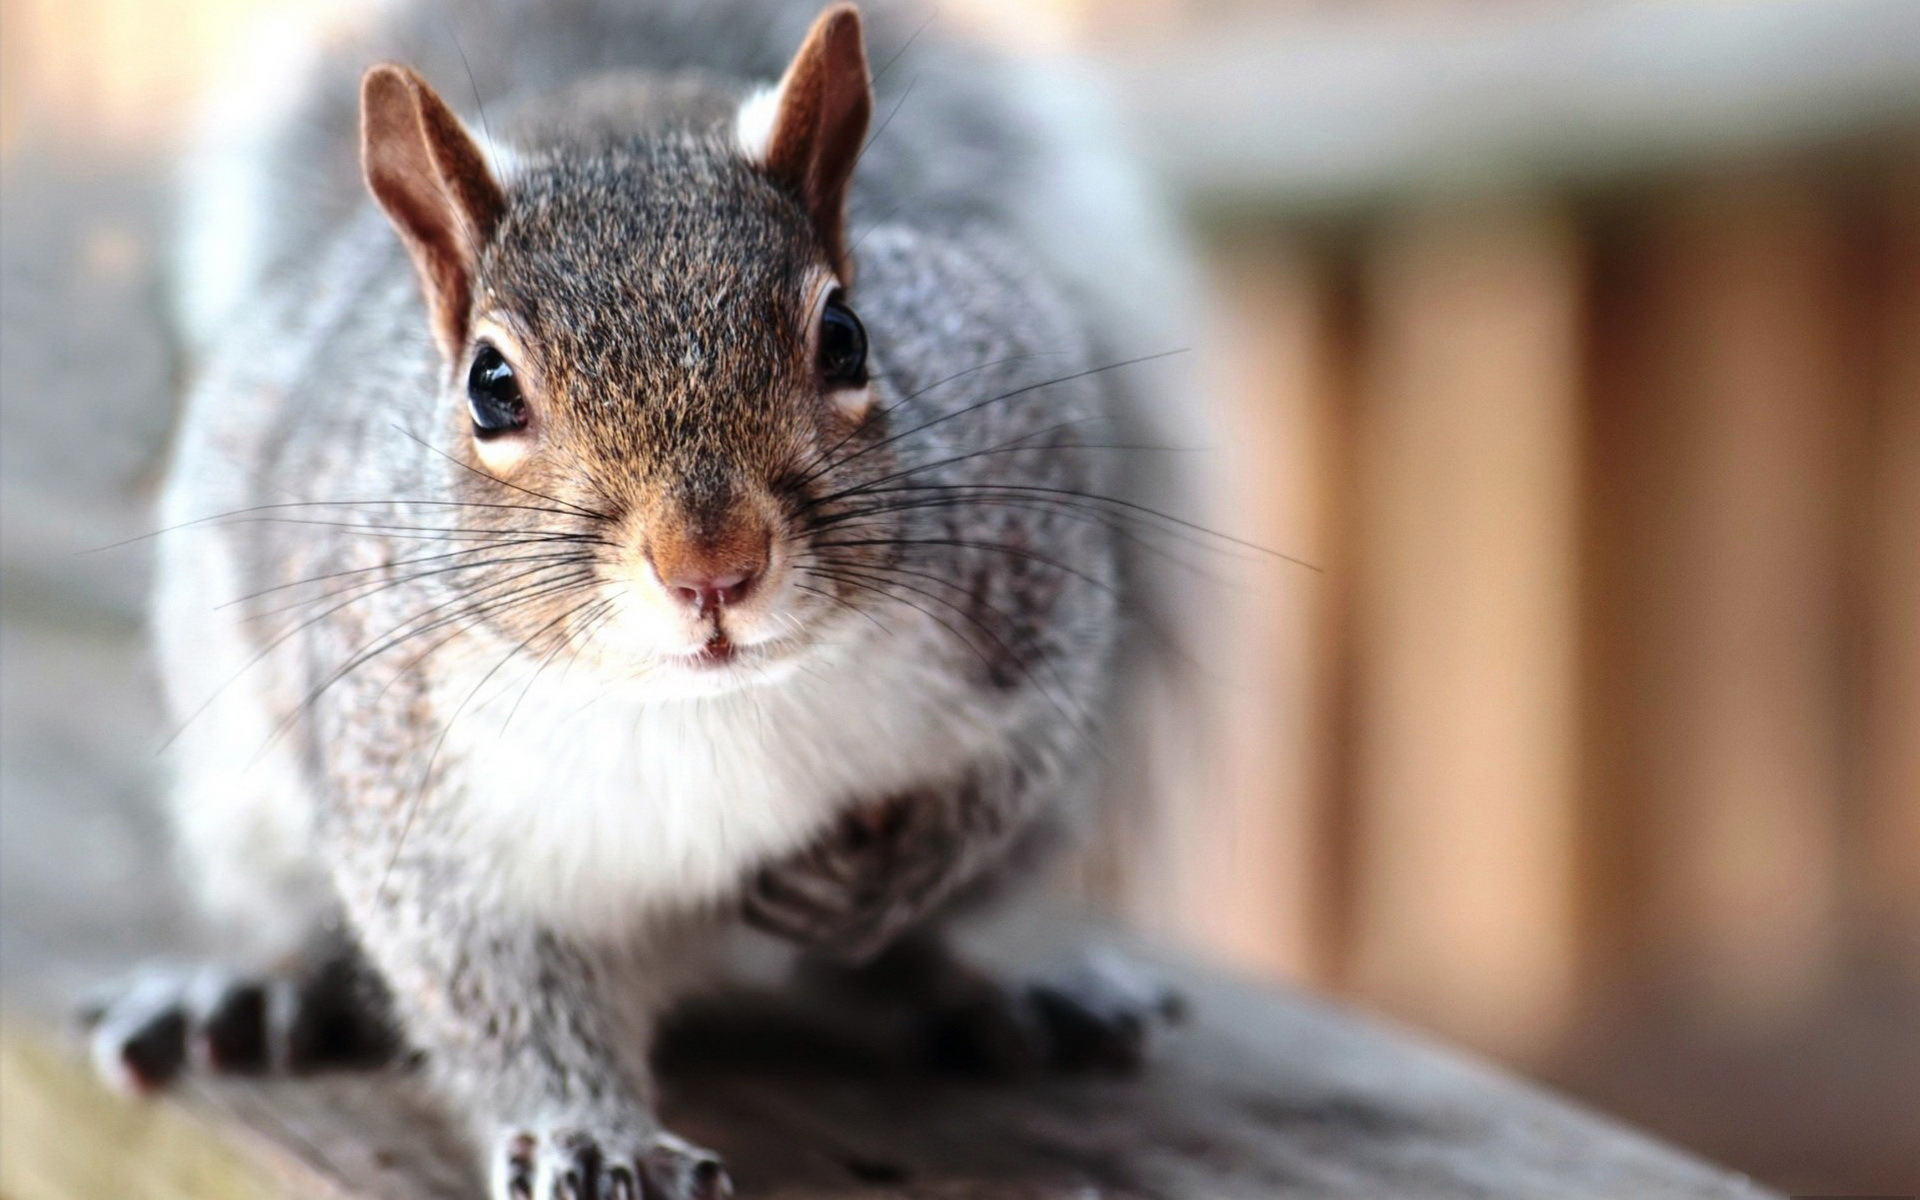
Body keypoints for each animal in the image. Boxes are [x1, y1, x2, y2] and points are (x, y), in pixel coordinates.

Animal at [88, 0, 1197, 1195]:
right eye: (490, 387)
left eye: (846, 334)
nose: (711, 565)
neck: (706, 703)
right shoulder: (416, 790)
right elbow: (490, 991)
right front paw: (590, 1135)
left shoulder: (1030, 589)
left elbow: (1009, 774)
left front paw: (877, 874)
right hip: (239, 788)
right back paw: (259, 988)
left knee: (896, 962)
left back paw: (1001, 995)